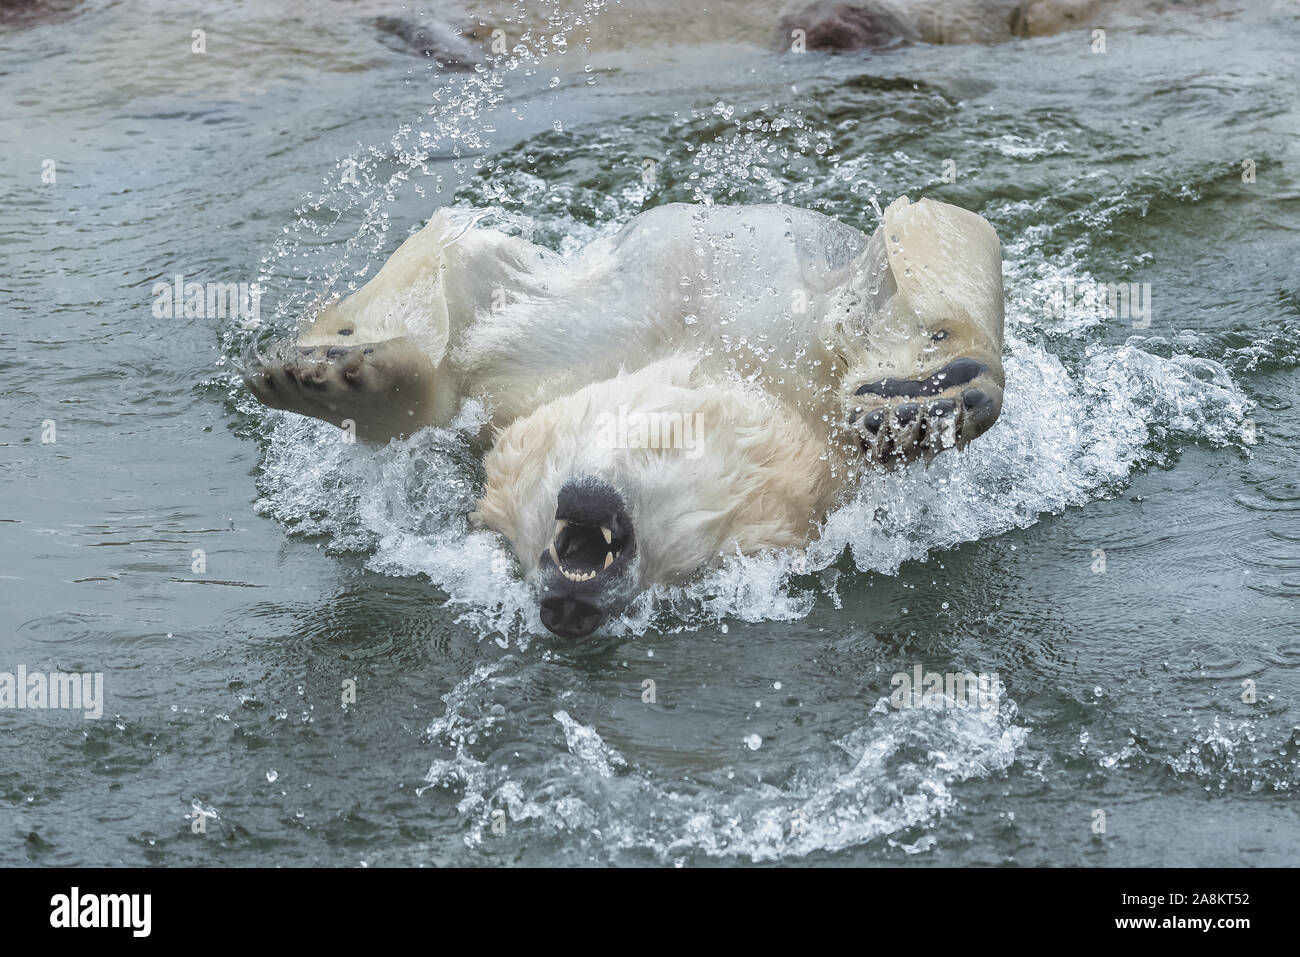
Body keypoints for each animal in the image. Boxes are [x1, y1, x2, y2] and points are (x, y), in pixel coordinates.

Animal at [246, 197, 1005, 637]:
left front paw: (934, 400)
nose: (569, 611)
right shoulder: (546, 354)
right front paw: (322, 374)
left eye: (691, 570)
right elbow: (457, 278)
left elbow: (950, 236)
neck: (702, 355)